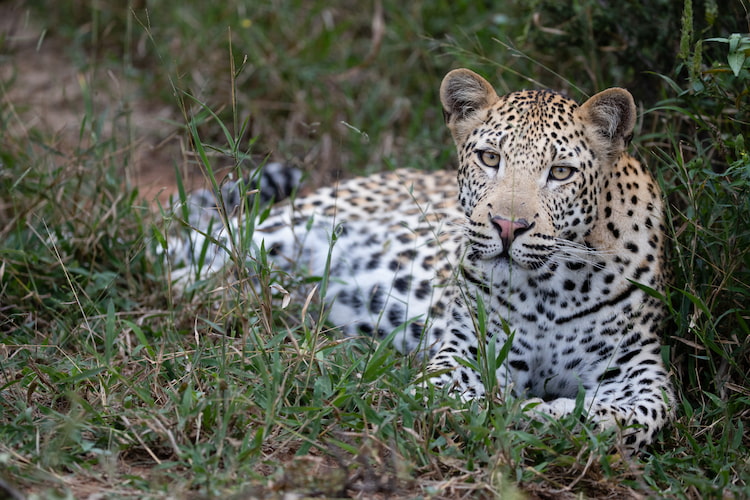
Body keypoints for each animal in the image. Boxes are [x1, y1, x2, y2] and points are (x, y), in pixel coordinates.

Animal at [166, 68, 674, 451]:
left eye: (561, 172)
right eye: (491, 158)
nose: (508, 226)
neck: (551, 289)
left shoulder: (642, 370)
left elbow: (645, 415)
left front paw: (563, 415)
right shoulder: (467, 351)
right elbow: (461, 396)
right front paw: (510, 410)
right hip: (288, 227)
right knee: (183, 253)